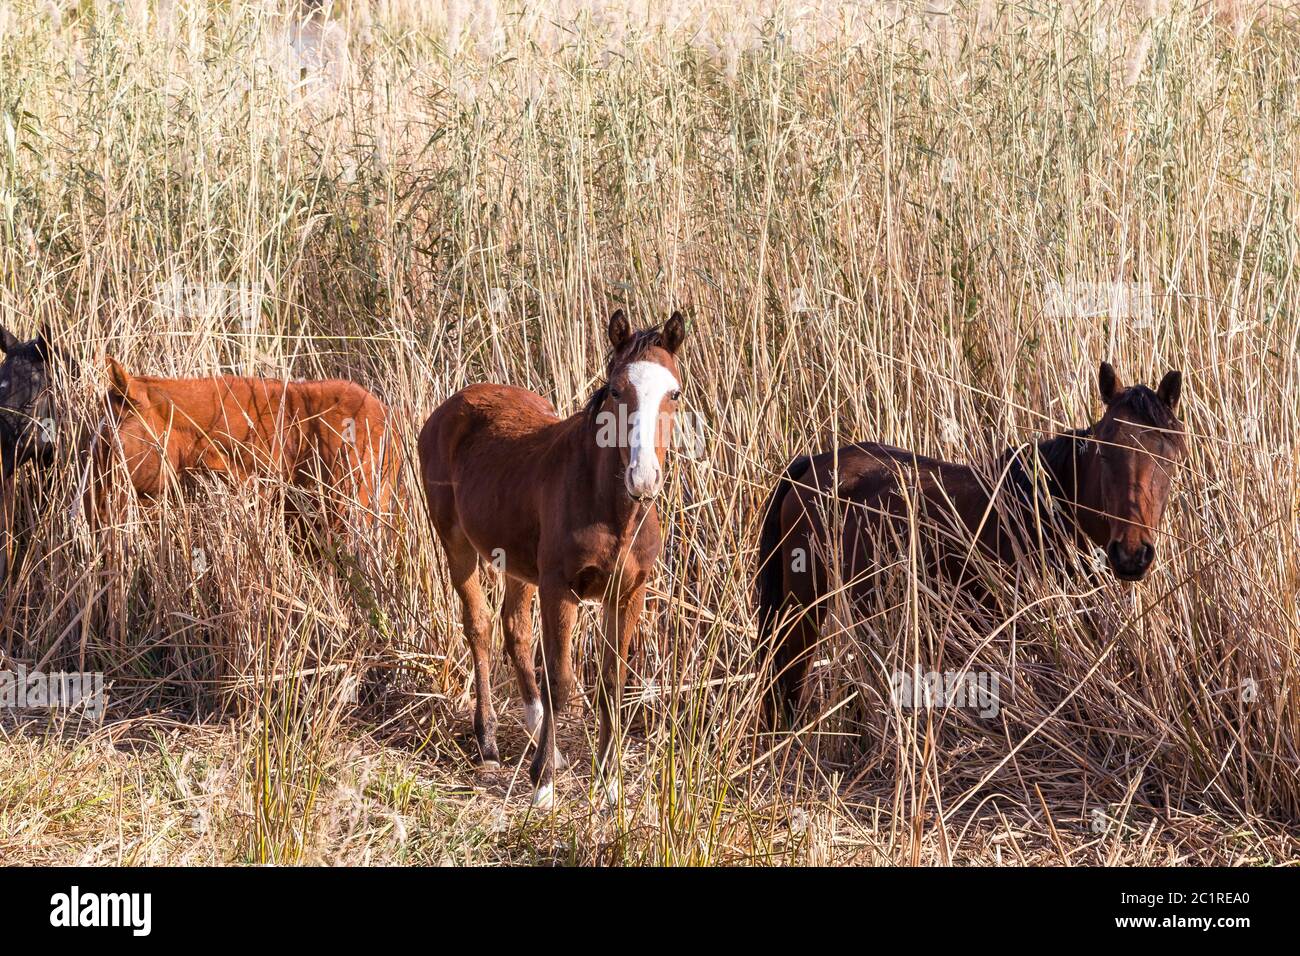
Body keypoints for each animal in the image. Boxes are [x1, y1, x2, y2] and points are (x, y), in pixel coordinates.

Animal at [418, 309, 686, 809]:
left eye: (674, 393)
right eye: (616, 389)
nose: (643, 478)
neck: (614, 513)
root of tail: (453, 404)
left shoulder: (627, 594)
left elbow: (611, 683)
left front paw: (609, 782)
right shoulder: (560, 589)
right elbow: (560, 681)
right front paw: (542, 785)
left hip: (518, 563)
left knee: (514, 627)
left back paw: (543, 738)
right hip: (457, 543)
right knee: (479, 625)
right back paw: (488, 744)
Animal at [754, 362, 1186, 729]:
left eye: (1169, 454)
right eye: (1104, 450)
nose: (1131, 553)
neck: (1045, 506)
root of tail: (815, 463)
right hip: (803, 607)